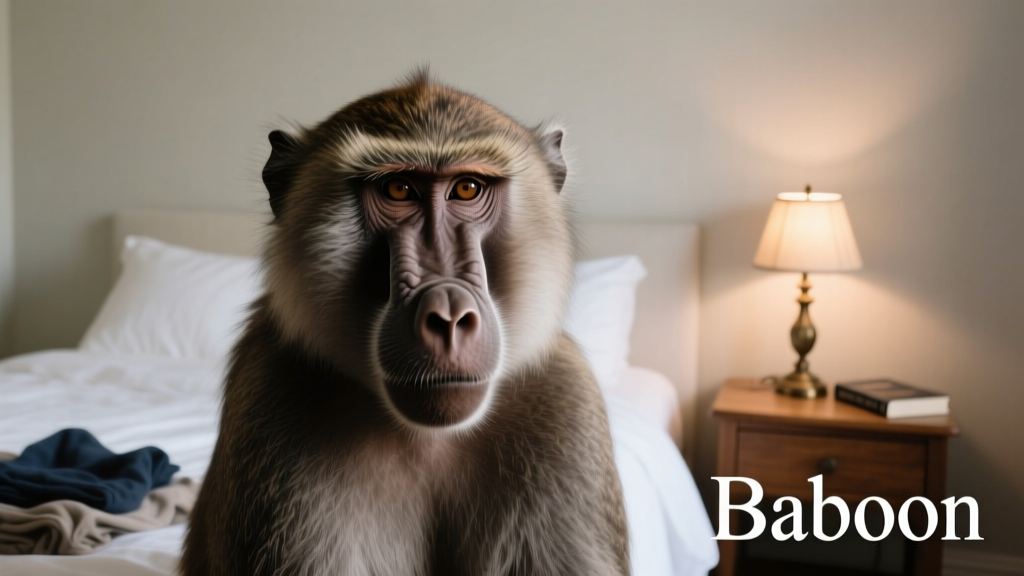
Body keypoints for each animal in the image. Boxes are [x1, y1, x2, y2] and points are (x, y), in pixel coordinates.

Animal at [181, 71, 630, 576]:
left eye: (467, 189)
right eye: (398, 190)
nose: (448, 313)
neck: (427, 437)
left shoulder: (565, 404)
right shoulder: (269, 398)